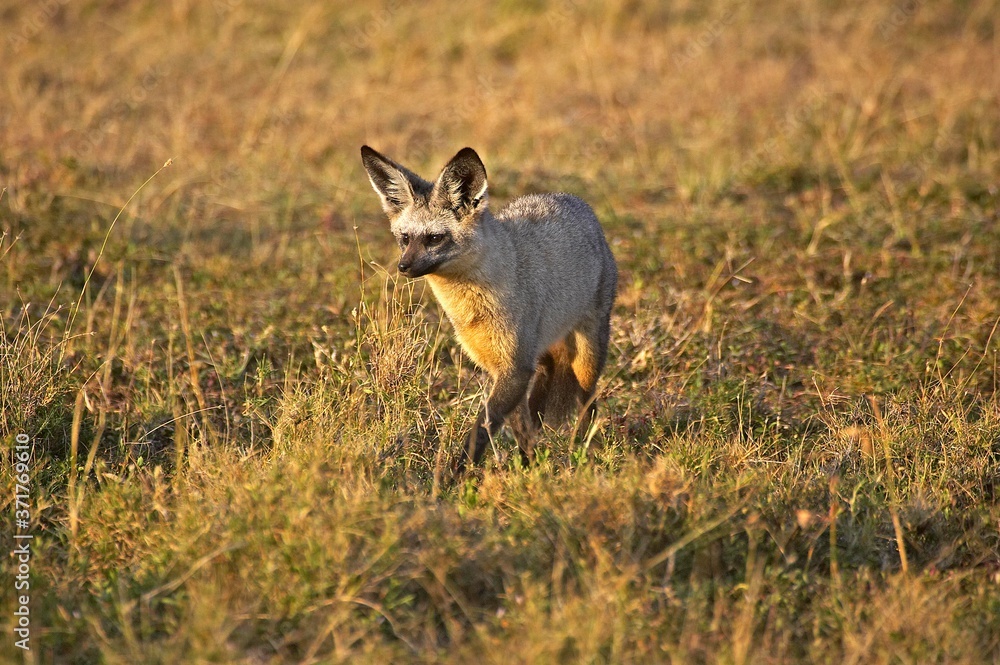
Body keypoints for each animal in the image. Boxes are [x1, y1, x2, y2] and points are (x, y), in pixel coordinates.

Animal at [361, 145, 618, 470]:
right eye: (405, 238)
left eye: (434, 238)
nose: (403, 267)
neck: (473, 308)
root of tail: (572, 199)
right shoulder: (501, 366)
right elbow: (518, 427)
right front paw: (527, 466)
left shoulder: (514, 368)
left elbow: (481, 428)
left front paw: (455, 473)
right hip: (541, 353)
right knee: (544, 387)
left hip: (587, 357)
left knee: (588, 400)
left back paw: (583, 447)